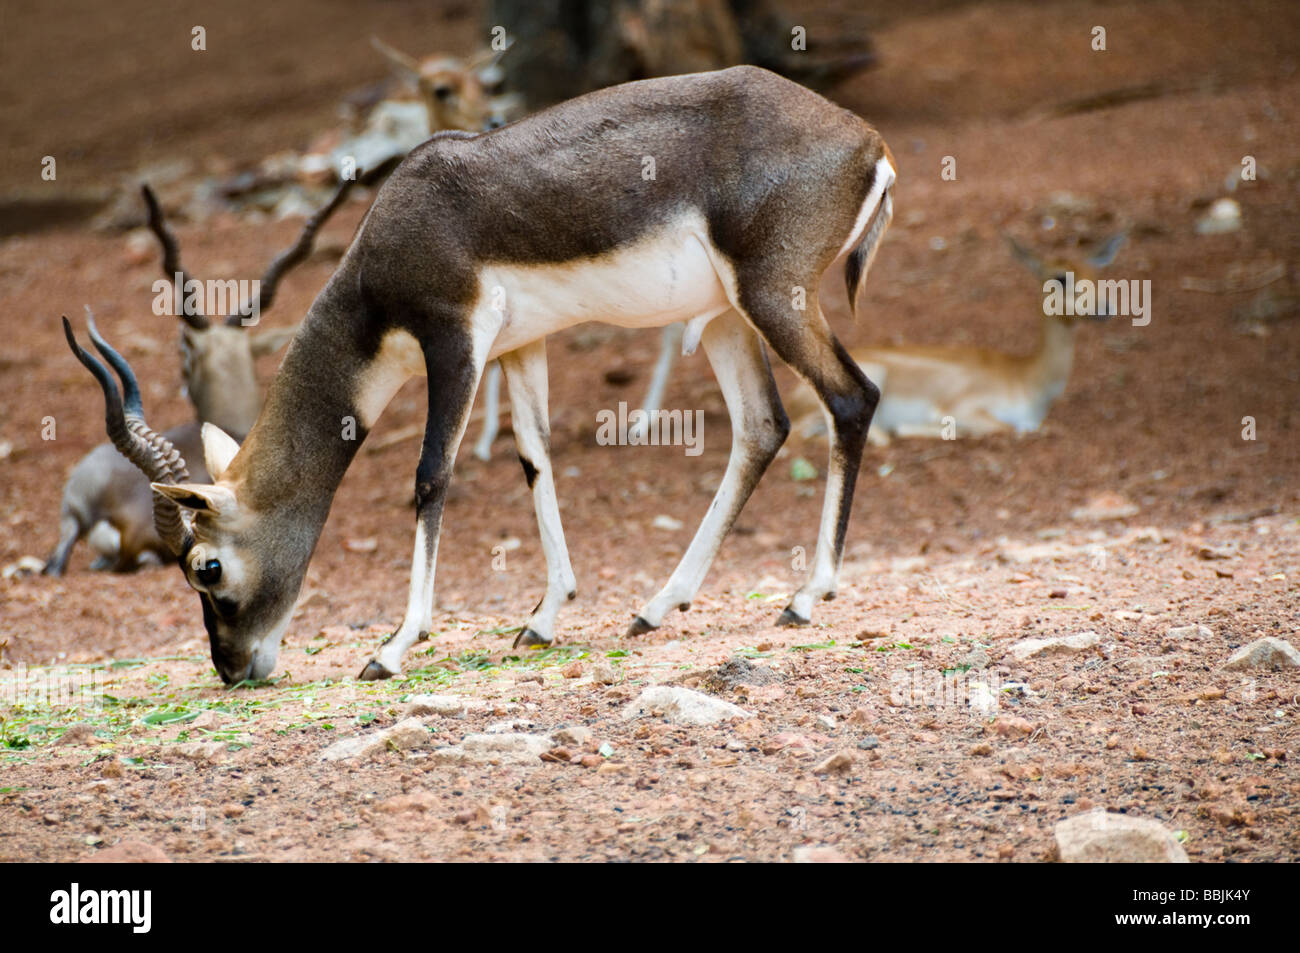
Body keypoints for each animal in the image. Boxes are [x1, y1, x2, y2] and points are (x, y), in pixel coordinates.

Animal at [786, 233, 1126, 442]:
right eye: (1059, 277)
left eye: (1097, 275)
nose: (1105, 307)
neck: (1026, 379)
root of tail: (793, 395)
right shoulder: (960, 407)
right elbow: (1006, 428)